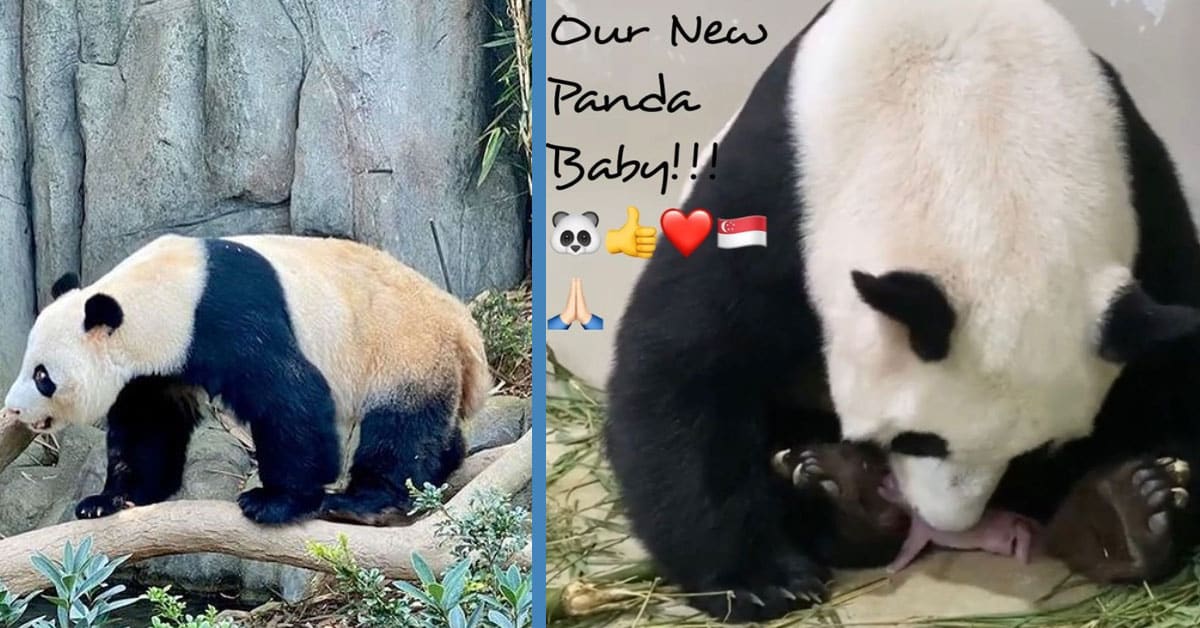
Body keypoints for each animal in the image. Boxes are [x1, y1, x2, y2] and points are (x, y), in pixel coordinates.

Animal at [1, 234, 490, 526]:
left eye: (43, 376)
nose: (14, 408)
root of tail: (461, 323)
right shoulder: (160, 365)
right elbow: (149, 425)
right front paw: (110, 499)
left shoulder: (230, 315)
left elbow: (290, 399)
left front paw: (273, 501)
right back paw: (442, 465)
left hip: (403, 347)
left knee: (399, 428)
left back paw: (364, 501)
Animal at [605, 0, 1200, 622]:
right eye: (918, 440)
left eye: (1037, 450)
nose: (947, 522)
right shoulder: (782, 185)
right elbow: (687, 363)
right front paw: (761, 581)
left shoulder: (1135, 175)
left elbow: (1171, 357)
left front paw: (1150, 497)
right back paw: (845, 497)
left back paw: (1120, 515)